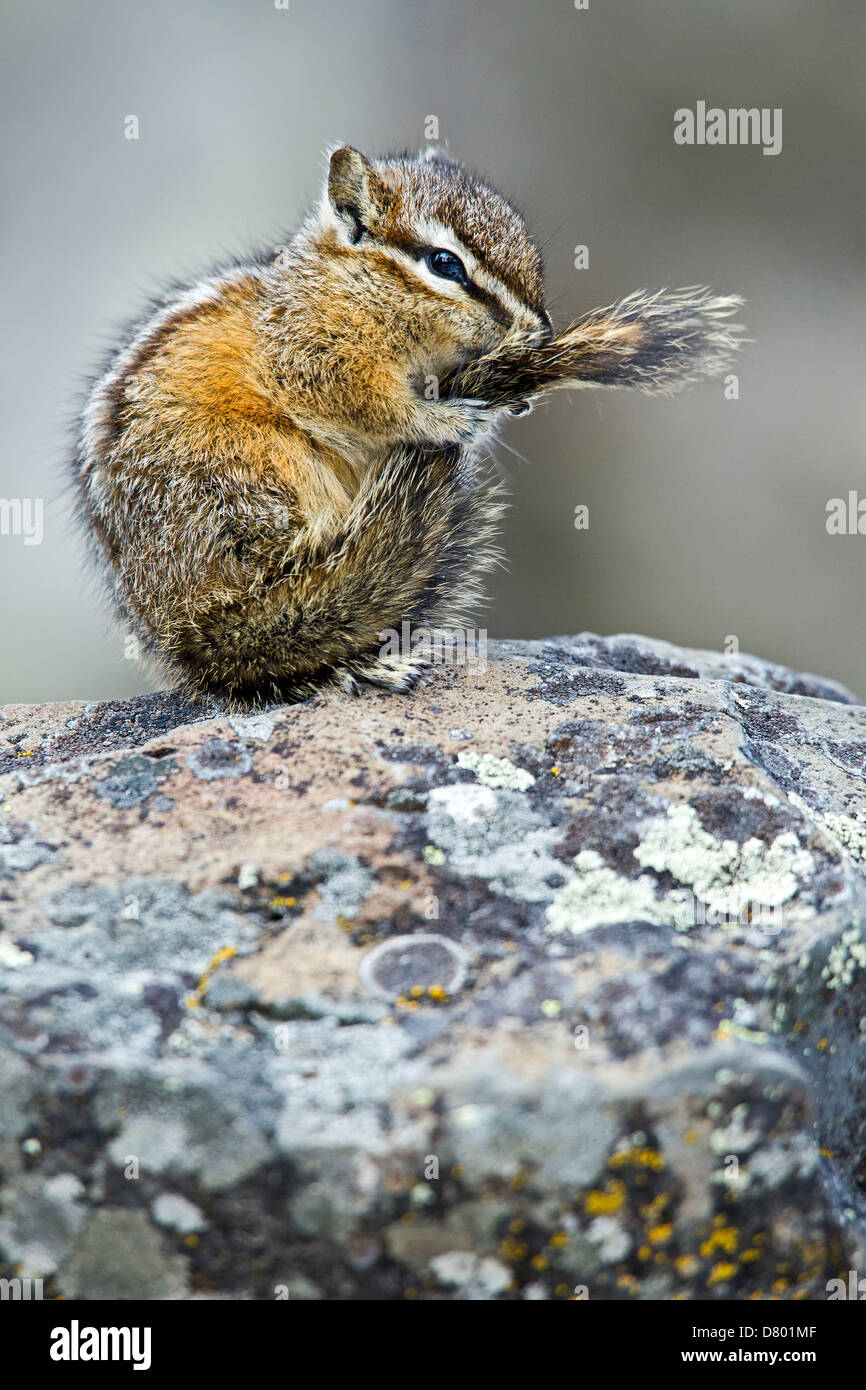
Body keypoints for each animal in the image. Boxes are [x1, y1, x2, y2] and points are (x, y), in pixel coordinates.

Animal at [74, 145, 745, 707]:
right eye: (445, 263)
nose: (541, 332)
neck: (349, 285)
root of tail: (182, 623)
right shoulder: (317, 357)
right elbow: (373, 407)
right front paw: (444, 417)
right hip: (250, 473)